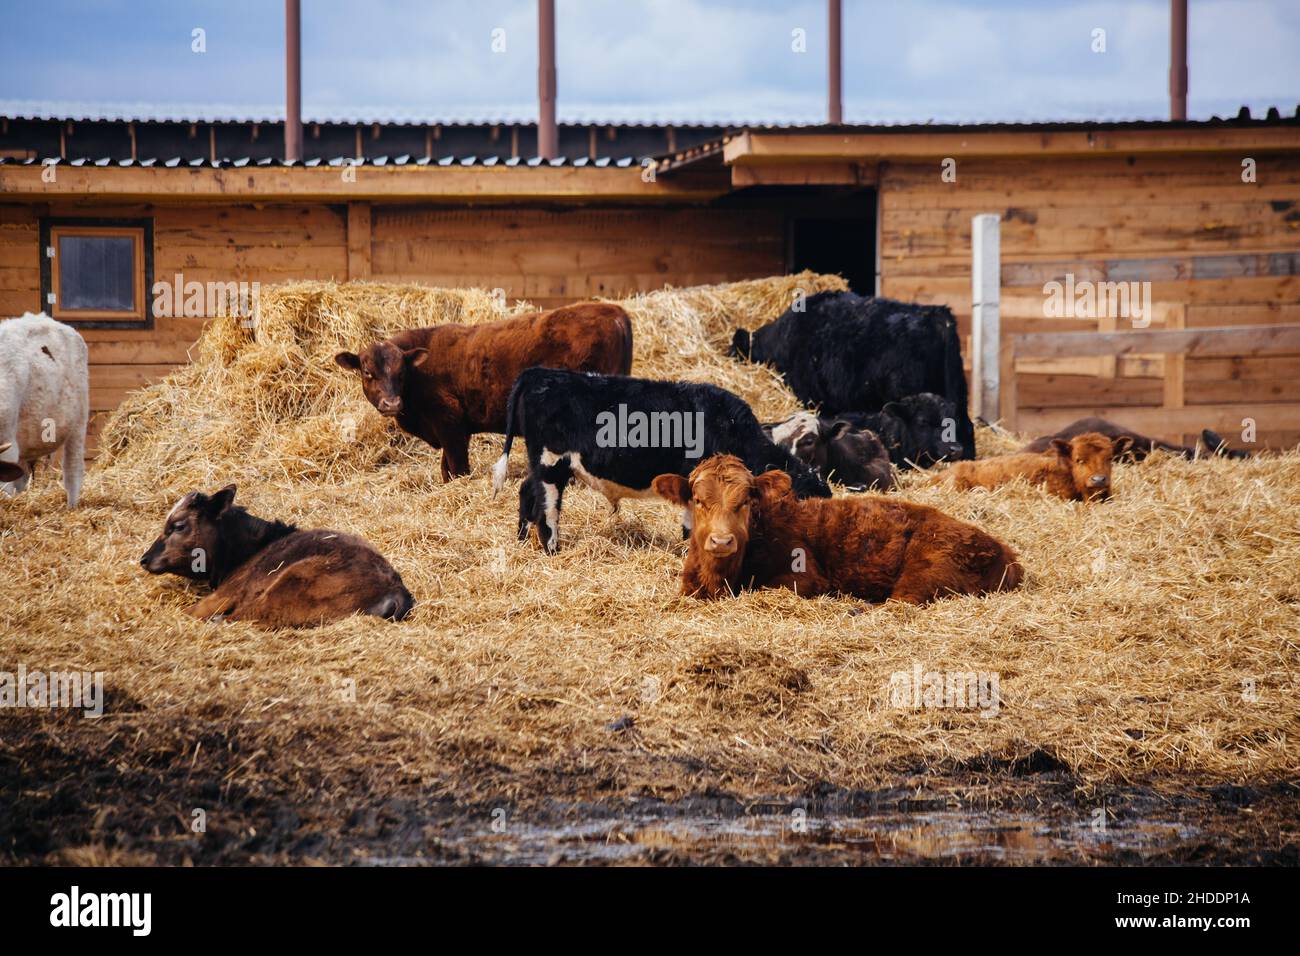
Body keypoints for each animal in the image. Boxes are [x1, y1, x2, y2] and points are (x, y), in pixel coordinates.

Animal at [140, 484, 413, 628]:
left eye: (178, 525)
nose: (144, 559)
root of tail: (395, 589)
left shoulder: (227, 592)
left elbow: (188, 612)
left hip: (288, 584)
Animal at [335, 302, 633, 482]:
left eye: (401, 372)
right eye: (368, 372)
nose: (391, 403)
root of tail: (611, 309)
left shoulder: (450, 424)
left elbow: (457, 467)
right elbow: (446, 469)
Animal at [491, 368, 831, 553]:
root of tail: (542, 373)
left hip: (541, 463)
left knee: (527, 492)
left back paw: (522, 541)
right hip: (552, 464)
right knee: (548, 508)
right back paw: (552, 550)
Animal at [652, 454, 1023, 604]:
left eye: (746, 500)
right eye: (698, 500)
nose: (721, 540)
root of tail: (1007, 553)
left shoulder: (805, 577)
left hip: (927, 567)